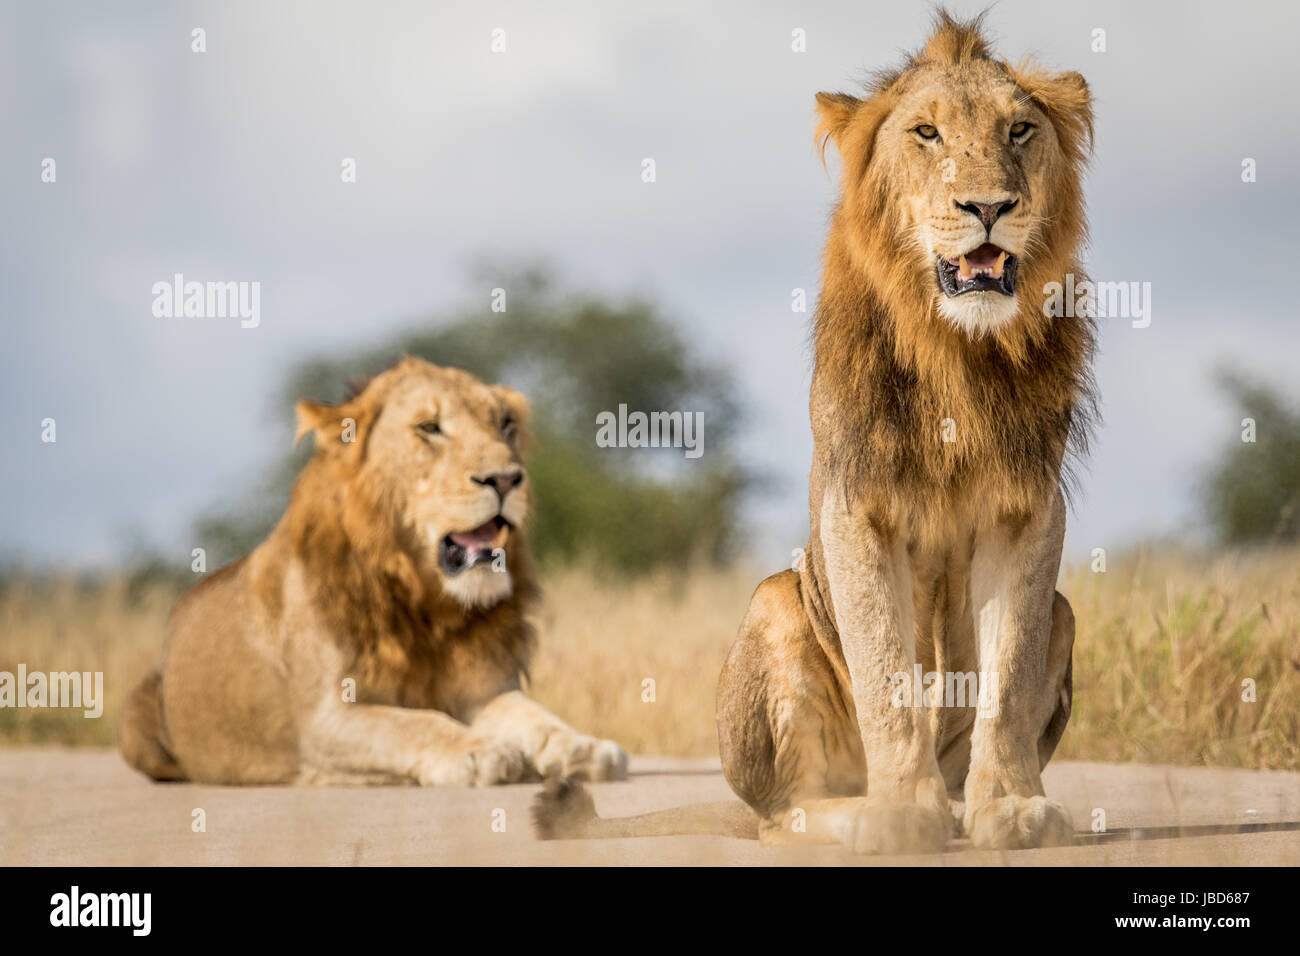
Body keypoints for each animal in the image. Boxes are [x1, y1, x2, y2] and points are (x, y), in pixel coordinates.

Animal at [120, 356, 628, 787]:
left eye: (505, 424)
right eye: (430, 428)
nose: (506, 479)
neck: (428, 602)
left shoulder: (484, 688)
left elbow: (538, 718)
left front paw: (583, 747)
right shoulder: (324, 719)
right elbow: (411, 723)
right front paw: (478, 750)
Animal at [534, 10, 1095, 853]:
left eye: (1020, 130)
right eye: (927, 133)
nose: (989, 206)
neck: (955, 349)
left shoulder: (1027, 507)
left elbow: (1009, 672)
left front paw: (1012, 808)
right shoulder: (854, 504)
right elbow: (887, 672)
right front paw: (900, 814)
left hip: (1065, 612)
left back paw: (957, 808)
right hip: (774, 602)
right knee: (779, 814)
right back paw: (864, 813)